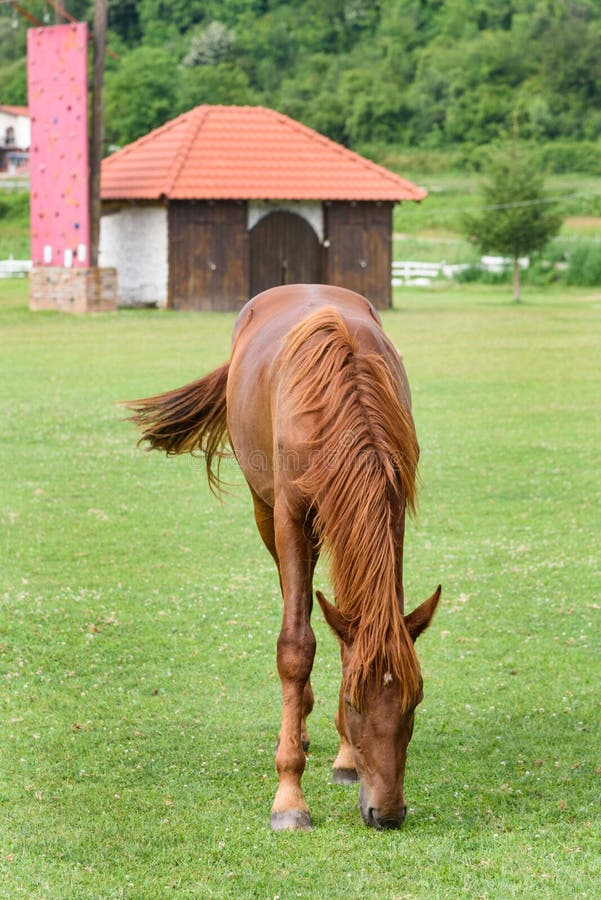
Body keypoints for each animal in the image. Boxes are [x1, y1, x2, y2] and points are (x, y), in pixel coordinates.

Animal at [126, 283, 440, 832]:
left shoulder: (391, 509)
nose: (388, 813)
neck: (347, 392)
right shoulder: (291, 517)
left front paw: (345, 757)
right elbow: (296, 645)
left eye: (415, 698)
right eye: (355, 700)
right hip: (266, 510)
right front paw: (290, 797)